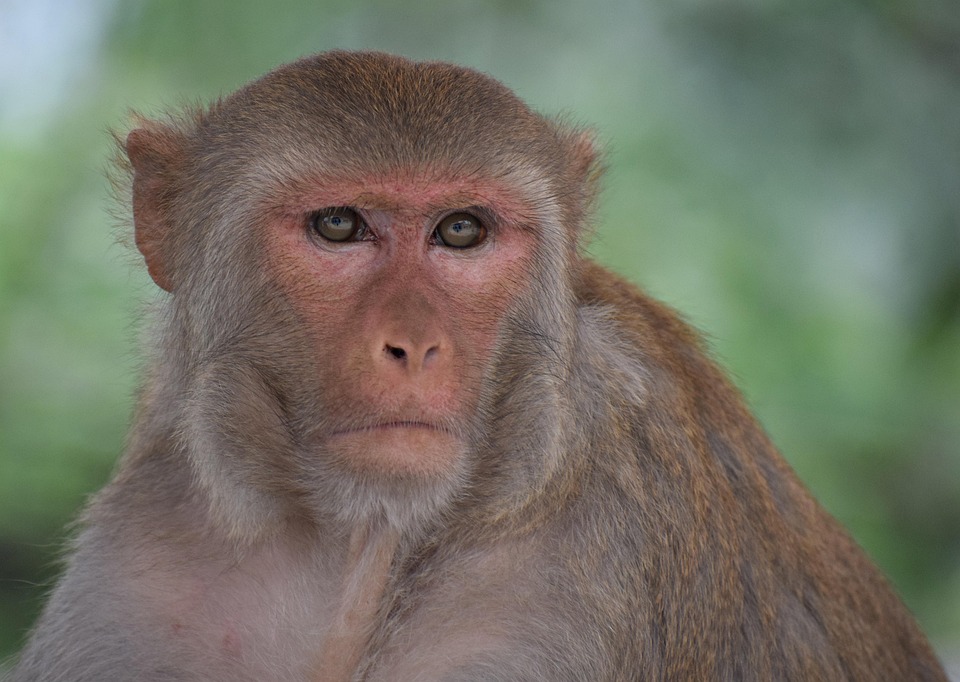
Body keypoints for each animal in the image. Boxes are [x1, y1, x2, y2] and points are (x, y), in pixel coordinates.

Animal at [8, 51, 947, 681]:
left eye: (461, 230)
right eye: (339, 226)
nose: (414, 346)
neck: (363, 542)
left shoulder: (605, 547)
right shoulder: (144, 565)